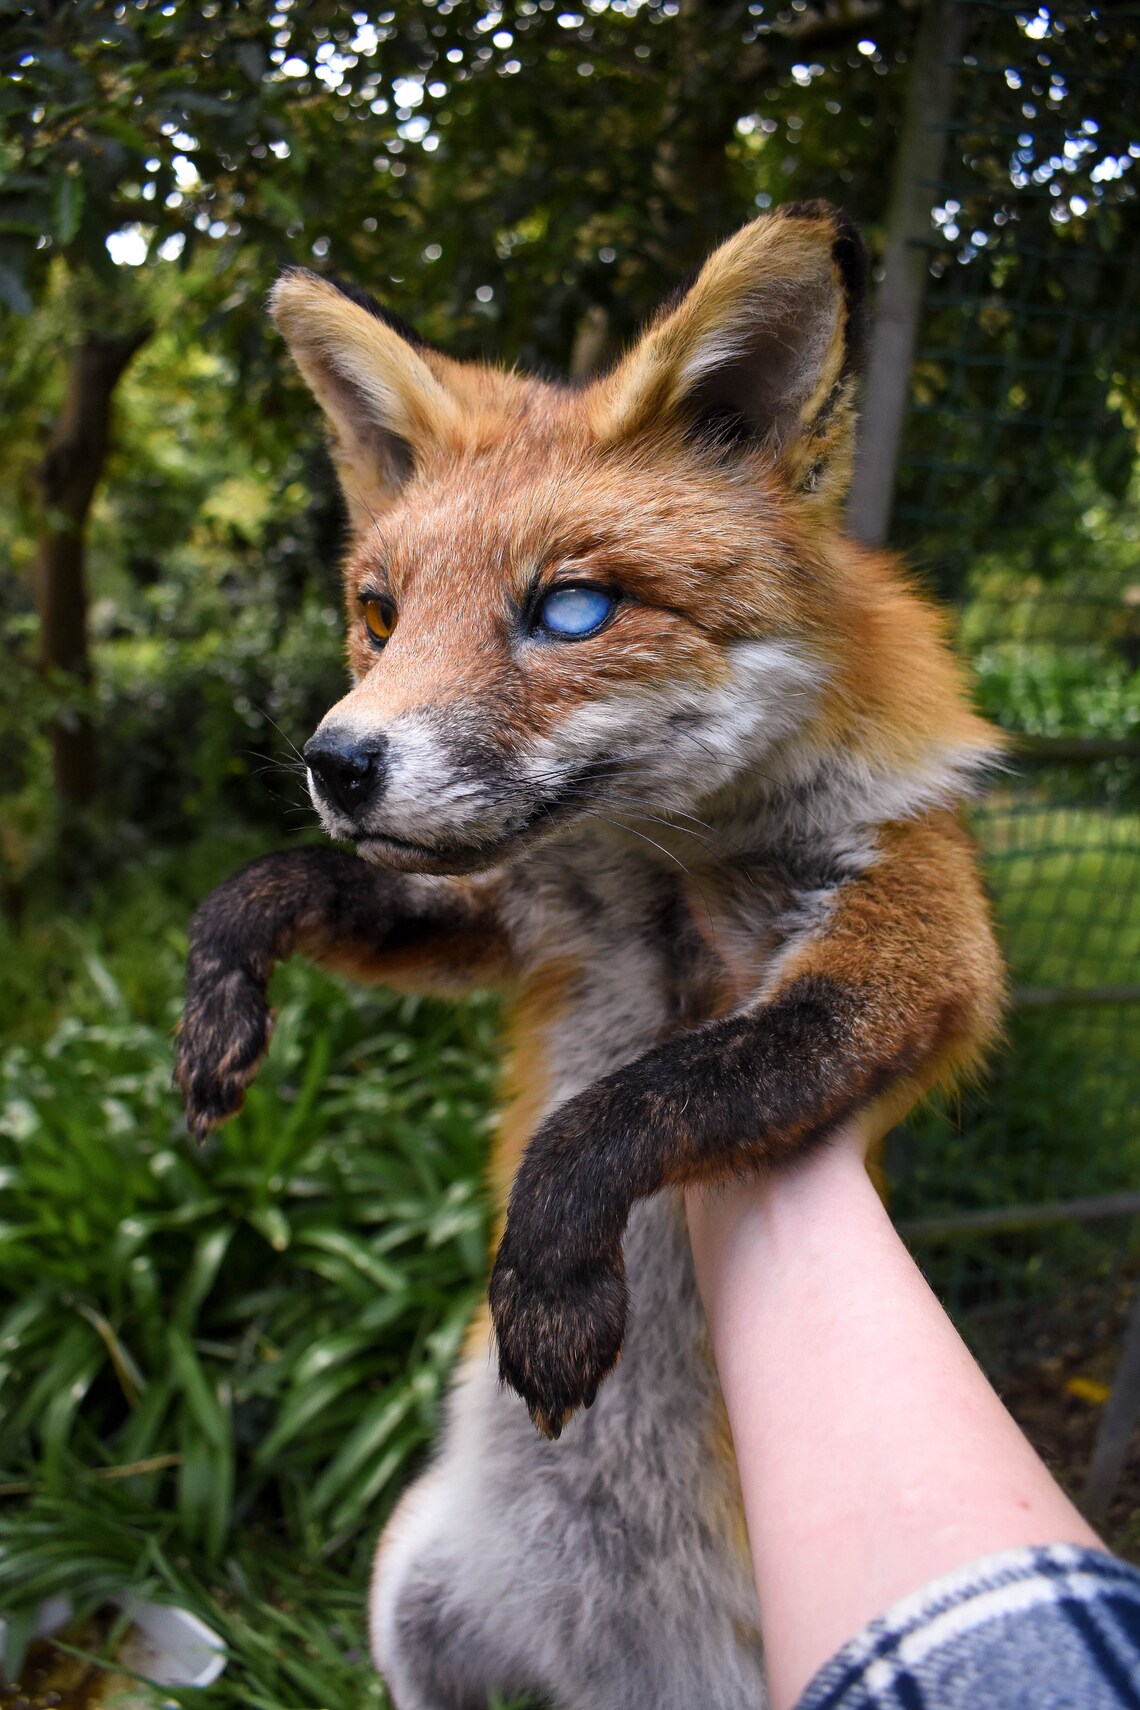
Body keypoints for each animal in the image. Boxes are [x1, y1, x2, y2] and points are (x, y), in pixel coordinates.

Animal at [175, 201, 1005, 1710]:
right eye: (379, 614)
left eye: (571, 612)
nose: (335, 763)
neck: (658, 861)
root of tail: (609, 1657)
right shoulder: (518, 911)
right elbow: (267, 887)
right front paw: (215, 1020)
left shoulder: (918, 938)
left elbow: (649, 1094)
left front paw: (549, 1284)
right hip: (407, 1605)